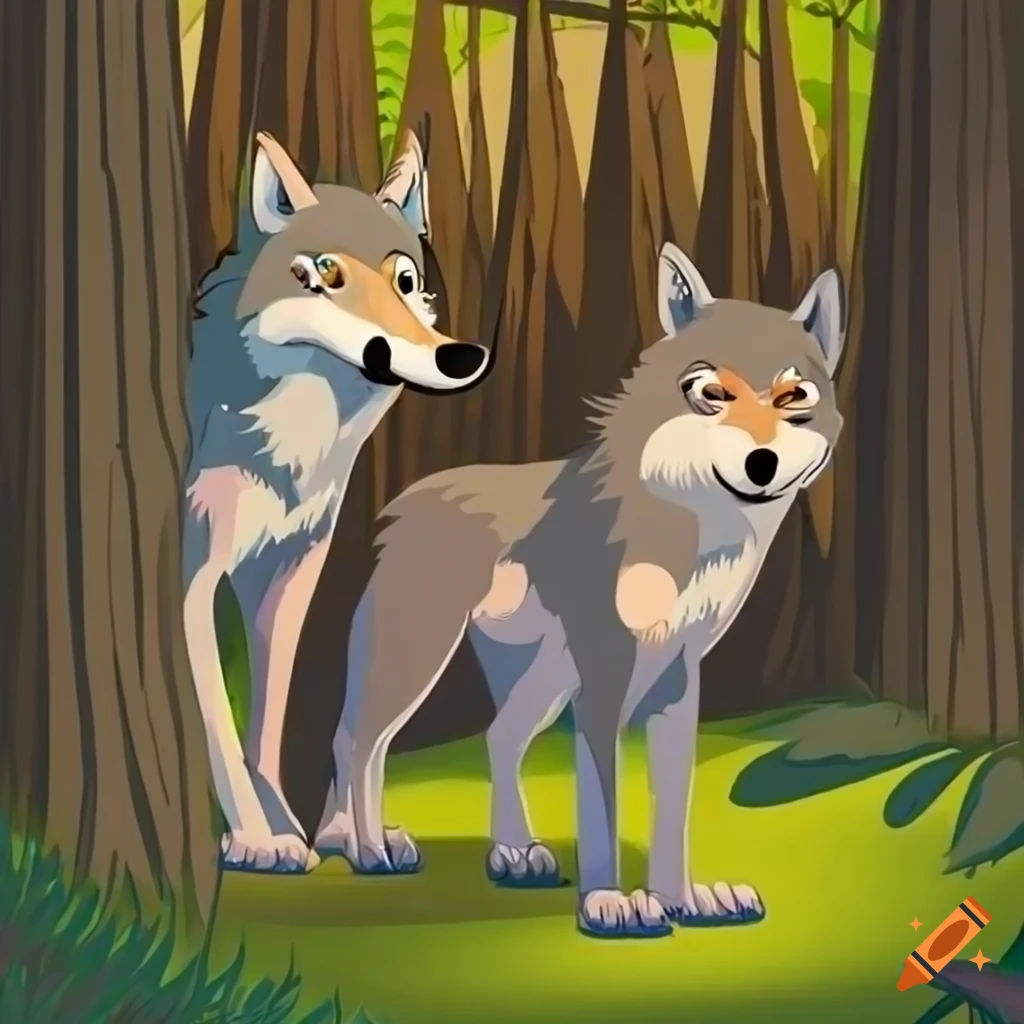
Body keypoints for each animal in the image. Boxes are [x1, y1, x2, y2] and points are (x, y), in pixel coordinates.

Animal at [183, 130, 492, 873]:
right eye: (325, 274)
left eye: (405, 280)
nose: (459, 357)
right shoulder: (196, 575)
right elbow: (217, 712)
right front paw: (258, 838)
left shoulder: (291, 567)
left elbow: (269, 715)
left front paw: (288, 825)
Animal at [315, 242, 845, 935]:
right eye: (711, 393)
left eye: (794, 396)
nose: (763, 464)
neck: (686, 536)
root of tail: (406, 501)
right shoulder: (607, 676)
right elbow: (601, 802)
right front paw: (610, 904)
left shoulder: (678, 676)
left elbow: (673, 804)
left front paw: (684, 900)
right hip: (424, 662)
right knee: (359, 743)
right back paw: (371, 848)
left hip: (543, 679)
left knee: (495, 737)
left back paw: (511, 854)